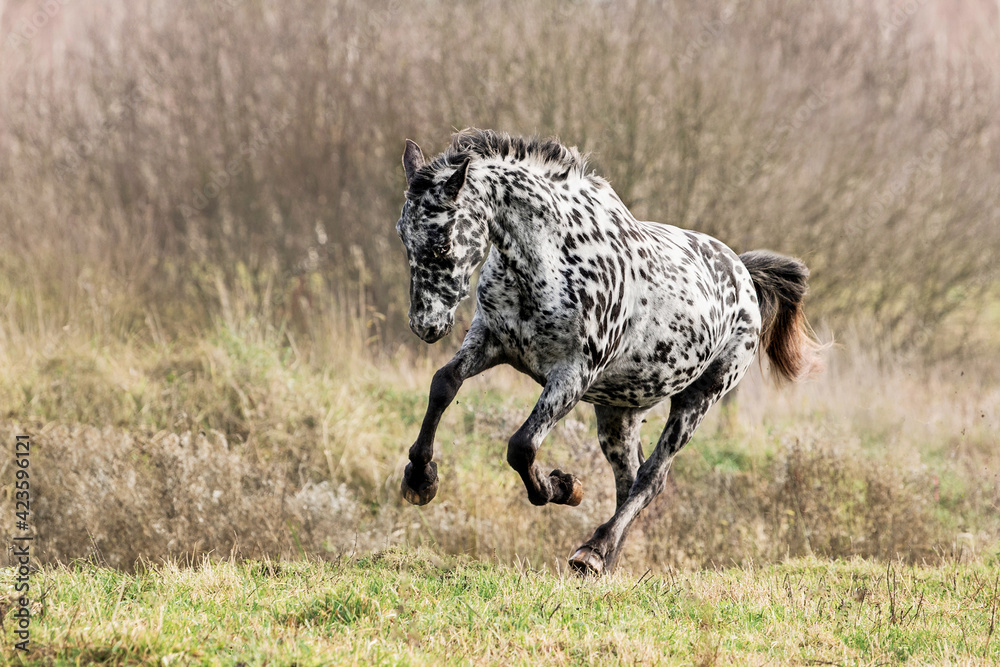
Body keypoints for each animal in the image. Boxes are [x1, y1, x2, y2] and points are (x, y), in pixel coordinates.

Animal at [395, 129, 822, 575]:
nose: (426, 325)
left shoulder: (573, 374)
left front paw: (563, 487)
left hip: (698, 397)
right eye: (403, 236)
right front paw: (420, 479)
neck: (552, 259)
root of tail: (742, 271)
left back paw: (594, 552)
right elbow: (444, 384)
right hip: (619, 410)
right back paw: (605, 557)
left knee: (651, 478)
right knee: (629, 479)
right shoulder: (490, 340)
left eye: (443, 245)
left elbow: (522, 445)